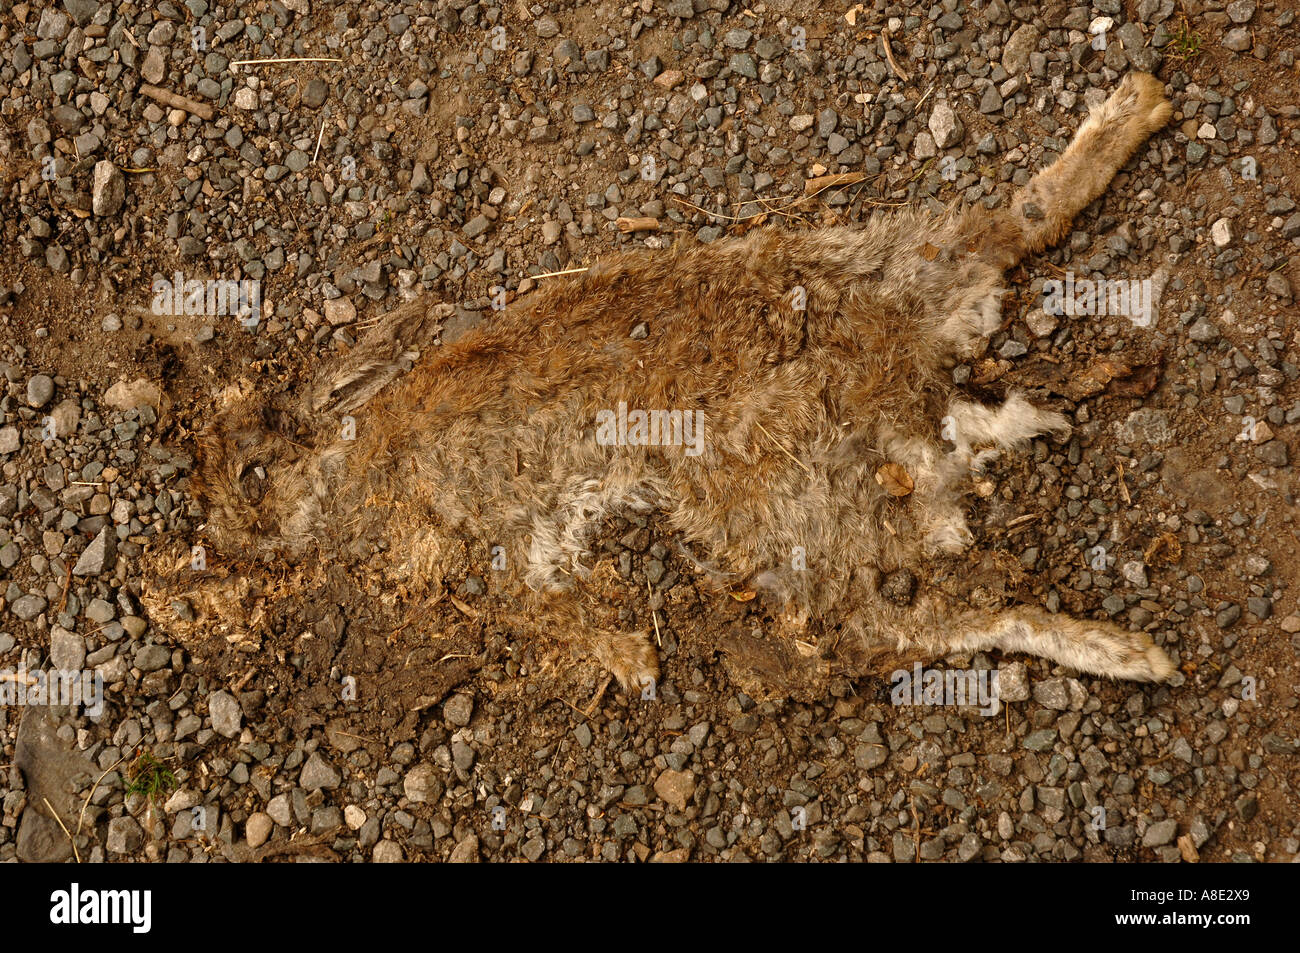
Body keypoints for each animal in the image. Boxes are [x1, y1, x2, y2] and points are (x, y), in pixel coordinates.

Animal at [143, 72, 1176, 697]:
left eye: (246, 471)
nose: (215, 538)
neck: (345, 460)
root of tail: (931, 419)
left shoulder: (463, 538)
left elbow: (544, 611)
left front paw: (630, 659)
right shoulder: (524, 539)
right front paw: (632, 654)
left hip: (813, 466)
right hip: (847, 455)